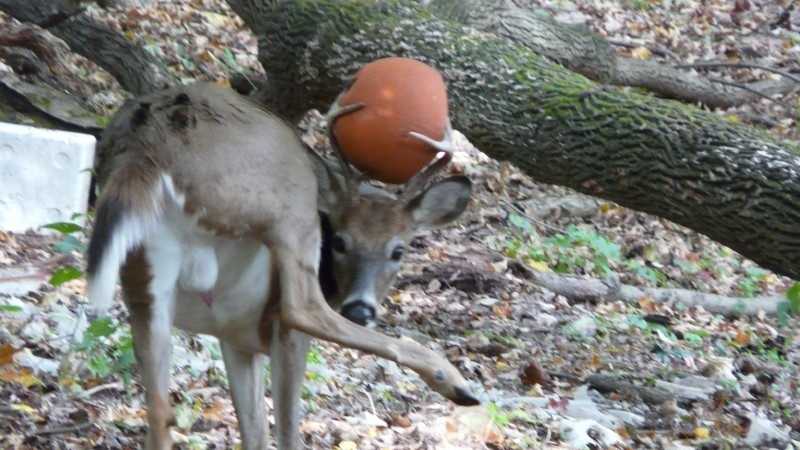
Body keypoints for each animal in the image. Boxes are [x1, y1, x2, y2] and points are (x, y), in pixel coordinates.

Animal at [85, 81, 479, 450]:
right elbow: (284, 426)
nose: (360, 308)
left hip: (146, 274)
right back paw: (455, 382)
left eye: (398, 250)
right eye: (340, 242)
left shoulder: (235, 337)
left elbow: (254, 433)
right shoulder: (281, 334)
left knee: (158, 413)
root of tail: (145, 148)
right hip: (289, 204)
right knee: (302, 308)